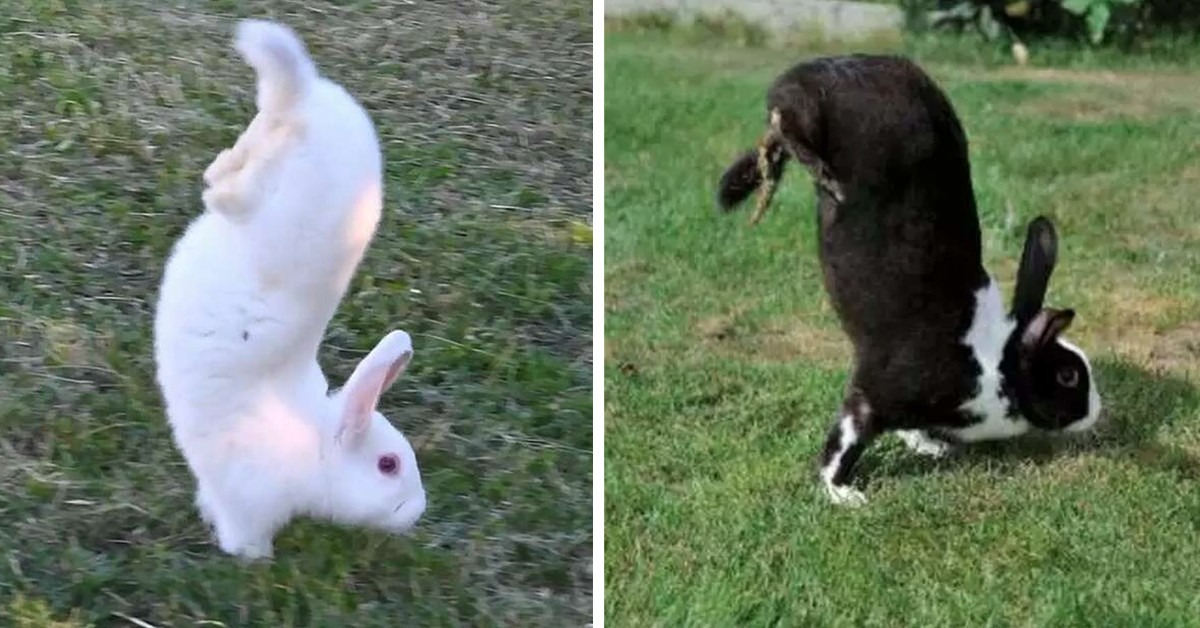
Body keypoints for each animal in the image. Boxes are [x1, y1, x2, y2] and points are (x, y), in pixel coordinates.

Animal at [153, 19, 426, 559]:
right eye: (388, 465)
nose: (417, 511)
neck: (313, 441)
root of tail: (307, 89)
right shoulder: (248, 503)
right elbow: (245, 535)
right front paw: (253, 559)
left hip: (280, 146)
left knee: (258, 139)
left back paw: (219, 178)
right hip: (285, 203)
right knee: (253, 179)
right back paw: (224, 192)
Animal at [716, 54, 1101, 506]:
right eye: (1067, 376)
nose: (1096, 411)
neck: (996, 363)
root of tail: (823, 65)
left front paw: (927, 445)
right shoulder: (873, 397)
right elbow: (845, 442)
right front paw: (842, 493)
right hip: (812, 110)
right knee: (789, 122)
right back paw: (819, 170)